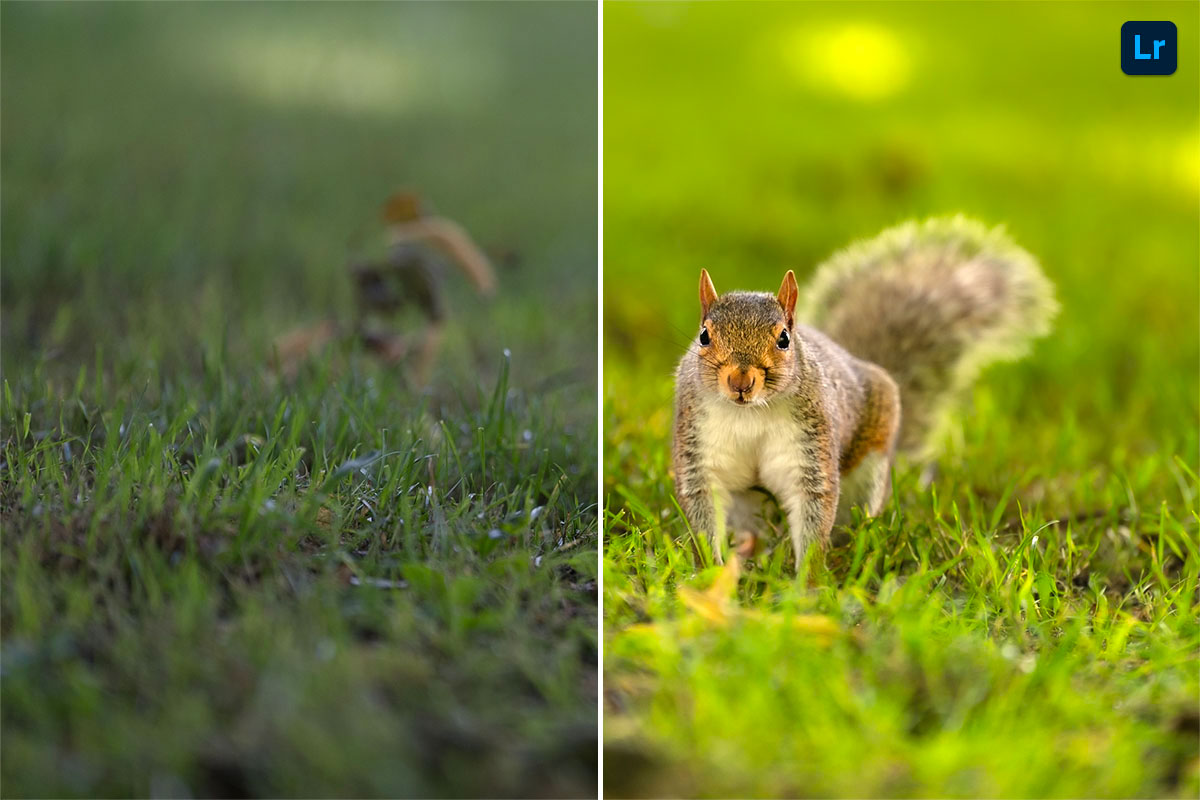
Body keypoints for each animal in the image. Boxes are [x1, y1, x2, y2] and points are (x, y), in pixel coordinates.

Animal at [672, 216, 1058, 568]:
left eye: (783, 339)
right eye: (704, 336)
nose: (740, 382)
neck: (749, 412)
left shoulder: (810, 444)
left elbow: (813, 505)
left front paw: (807, 580)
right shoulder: (698, 449)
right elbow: (702, 506)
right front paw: (711, 571)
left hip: (869, 468)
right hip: (746, 500)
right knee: (754, 528)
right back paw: (747, 551)